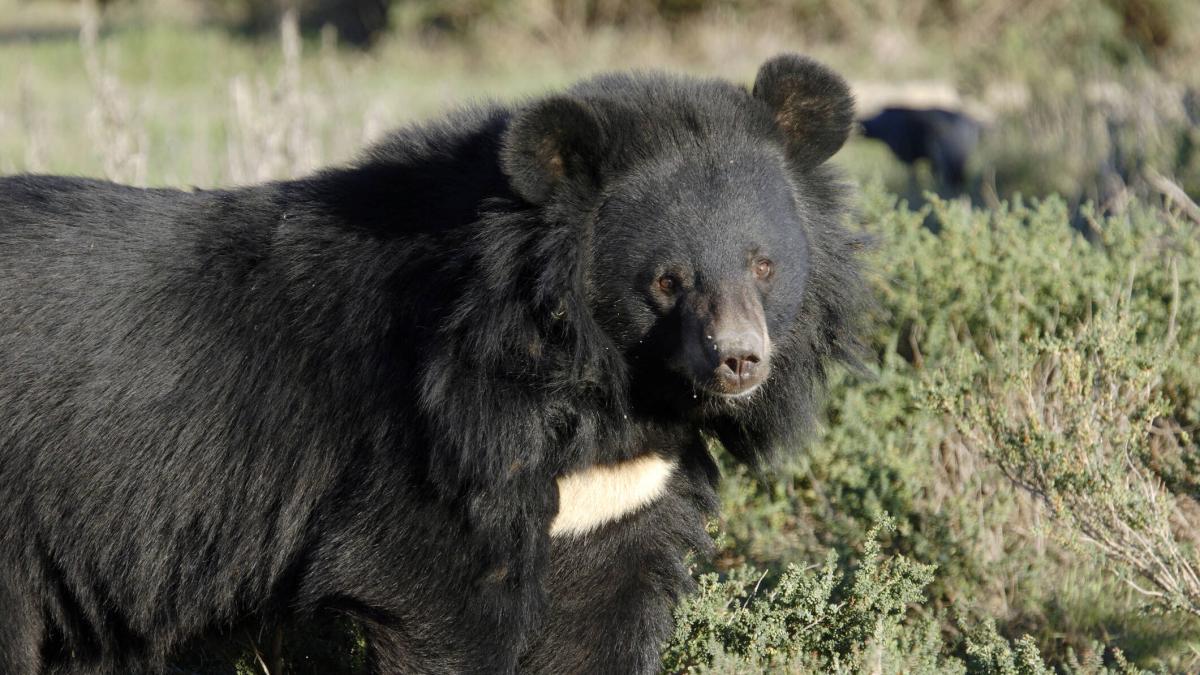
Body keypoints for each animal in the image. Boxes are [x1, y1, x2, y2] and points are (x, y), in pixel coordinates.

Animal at [0, 54, 866, 674]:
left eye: (763, 265)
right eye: (666, 279)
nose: (739, 361)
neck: (601, 381)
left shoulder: (624, 490)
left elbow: (602, 615)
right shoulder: (434, 441)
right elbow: (435, 591)